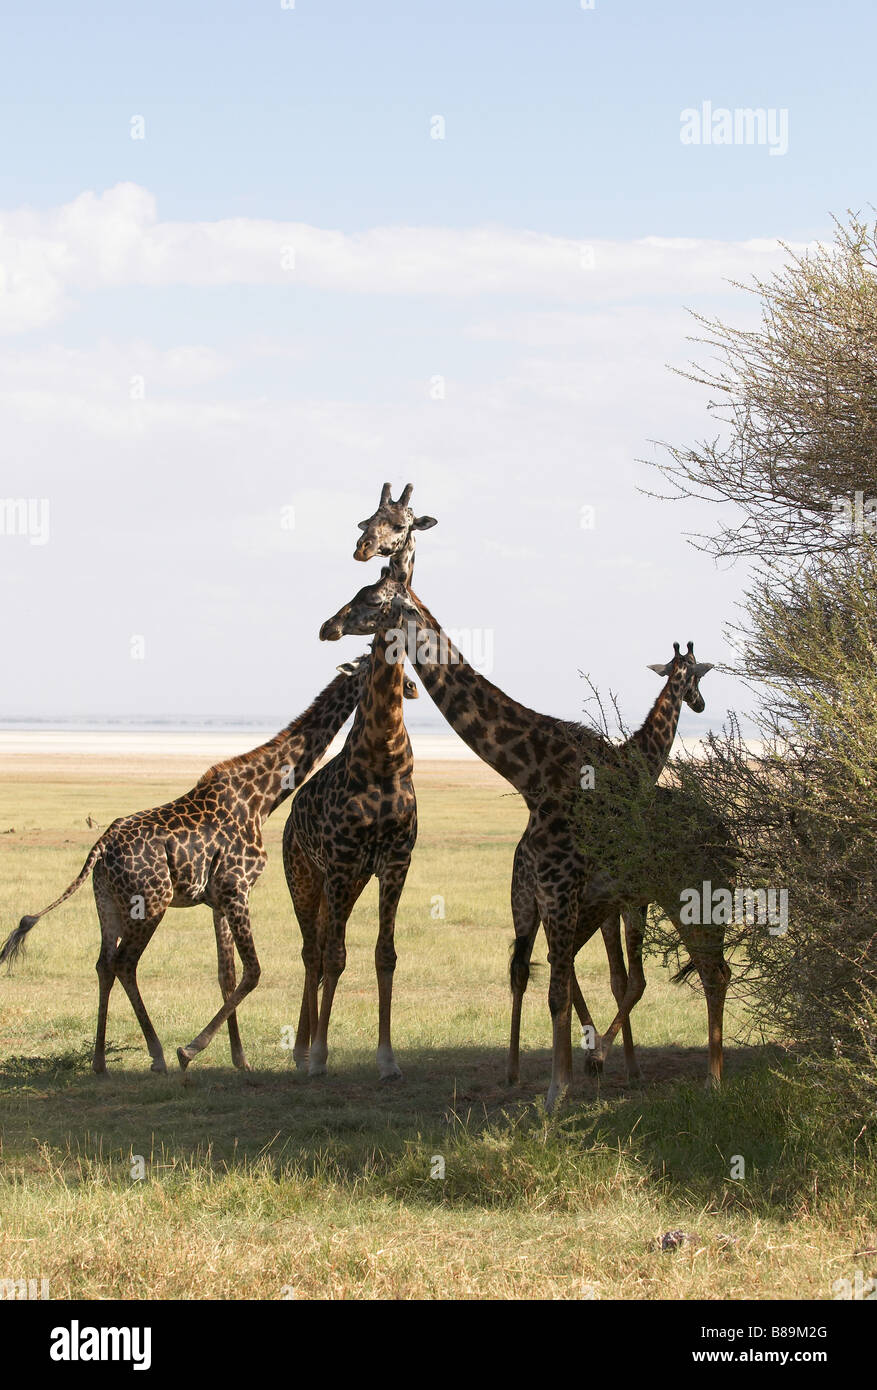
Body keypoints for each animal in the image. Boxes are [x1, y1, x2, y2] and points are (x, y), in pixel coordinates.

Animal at [0, 657, 383, 1075]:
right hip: (150, 903)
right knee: (125, 963)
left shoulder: (218, 900)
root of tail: (100, 848)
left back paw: (100, 1061)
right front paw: (192, 1050)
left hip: (107, 904)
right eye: (371, 664)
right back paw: (158, 1055)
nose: (409, 686)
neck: (262, 798)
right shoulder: (237, 888)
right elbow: (253, 972)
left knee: (103, 964)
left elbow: (226, 975)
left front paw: (239, 1059)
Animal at [320, 568, 714, 1109]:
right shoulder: (544, 893)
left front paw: (559, 1087)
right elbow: (555, 981)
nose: (328, 627)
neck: (536, 775)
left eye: (373, 600)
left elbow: (564, 988)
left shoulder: (567, 892)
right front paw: (558, 1079)